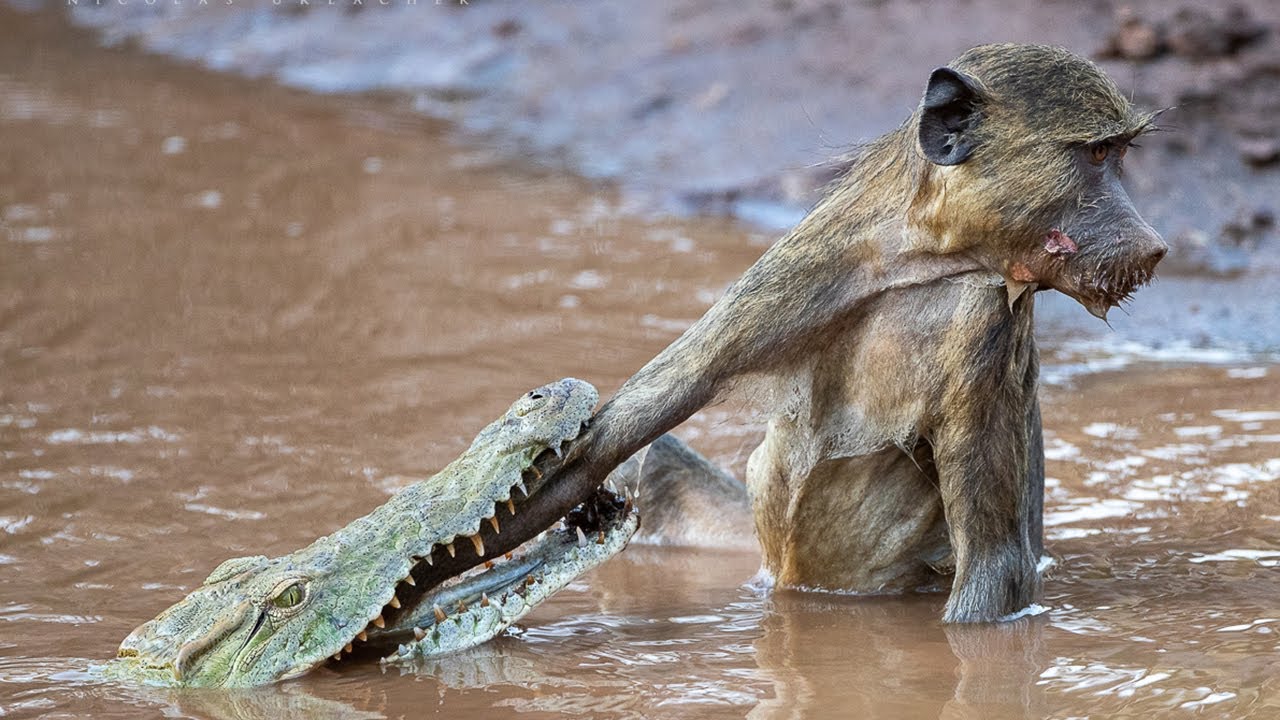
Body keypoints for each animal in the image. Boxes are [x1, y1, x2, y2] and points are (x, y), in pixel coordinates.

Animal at [427, 44, 1168, 623]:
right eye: (1097, 155)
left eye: (1117, 155)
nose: (1155, 246)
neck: (926, 260)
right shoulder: (800, 272)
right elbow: (598, 447)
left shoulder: (987, 321)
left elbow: (994, 565)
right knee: (655, 462)